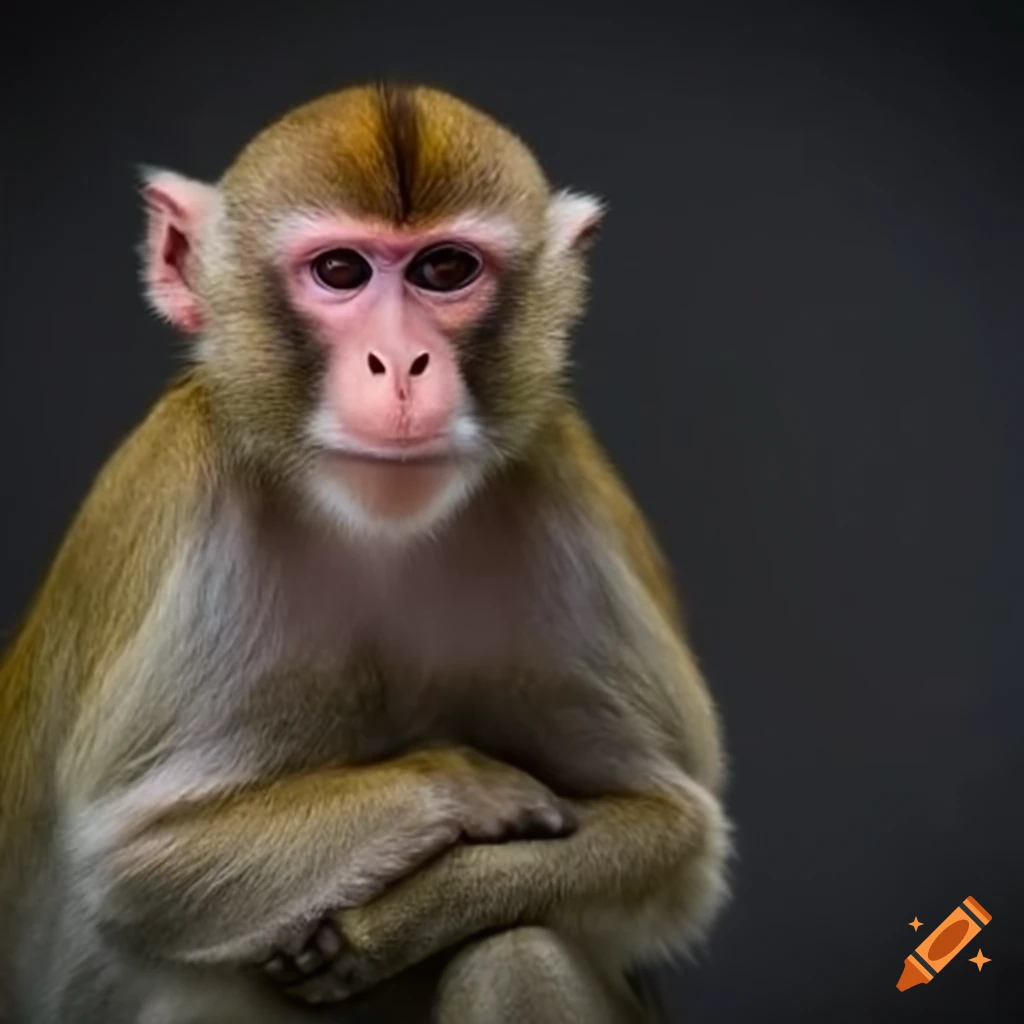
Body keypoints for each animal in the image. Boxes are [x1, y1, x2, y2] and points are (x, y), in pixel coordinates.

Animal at [0, 82, 732, 1024]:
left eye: (445, 270)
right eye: (341, 272)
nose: (402, 362)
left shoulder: (563, 504)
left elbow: (675, 832)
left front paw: (408, 916)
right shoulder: (200, 519)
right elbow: (139, 866)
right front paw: (456, 784)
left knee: (518, 946)